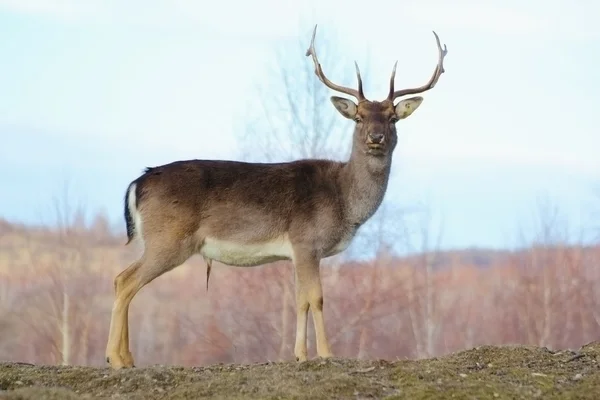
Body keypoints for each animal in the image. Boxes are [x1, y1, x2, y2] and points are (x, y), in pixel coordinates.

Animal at [105, 24, 448, 368]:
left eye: (392, 118)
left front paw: (299, 354)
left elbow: (300, 301)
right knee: (124, 280)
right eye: (359, 117)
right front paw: (326, 353)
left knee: (124, 281)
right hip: (169, 239)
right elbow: (317, 298)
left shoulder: (297, 251)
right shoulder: (306, 241)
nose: (376, 137)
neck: (345, 203)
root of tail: (137, 184)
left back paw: (126, 358)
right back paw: (116, 358)